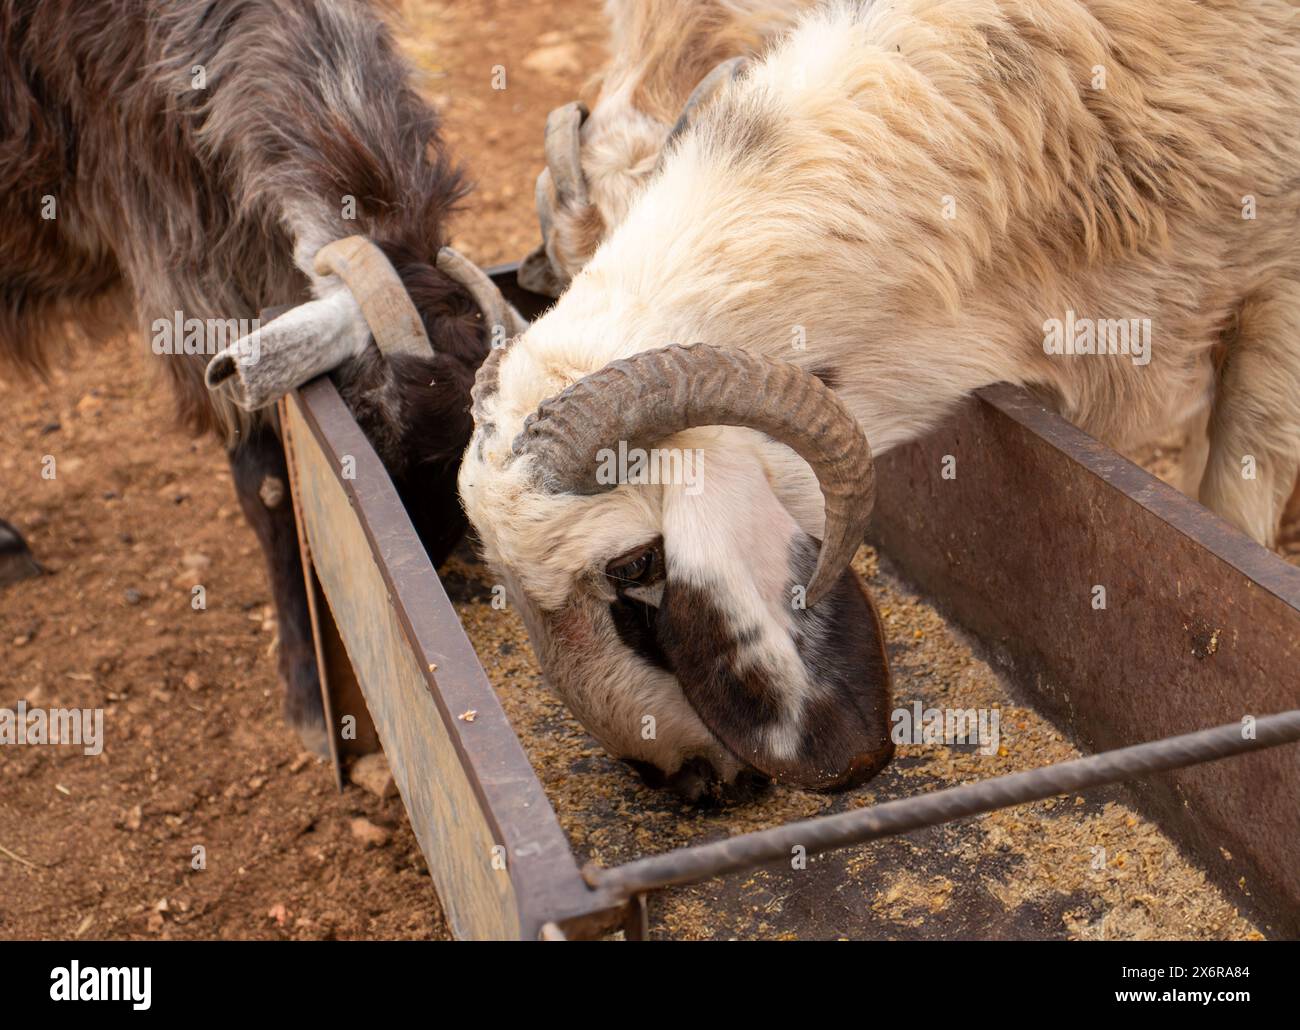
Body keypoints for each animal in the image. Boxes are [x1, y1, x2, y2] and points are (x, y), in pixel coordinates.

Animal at [0, 0, 520, 751]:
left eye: (462, 459)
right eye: (373, 433)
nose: (416, 577)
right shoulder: (189, 271)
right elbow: (269, 489)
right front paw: (308, 696)